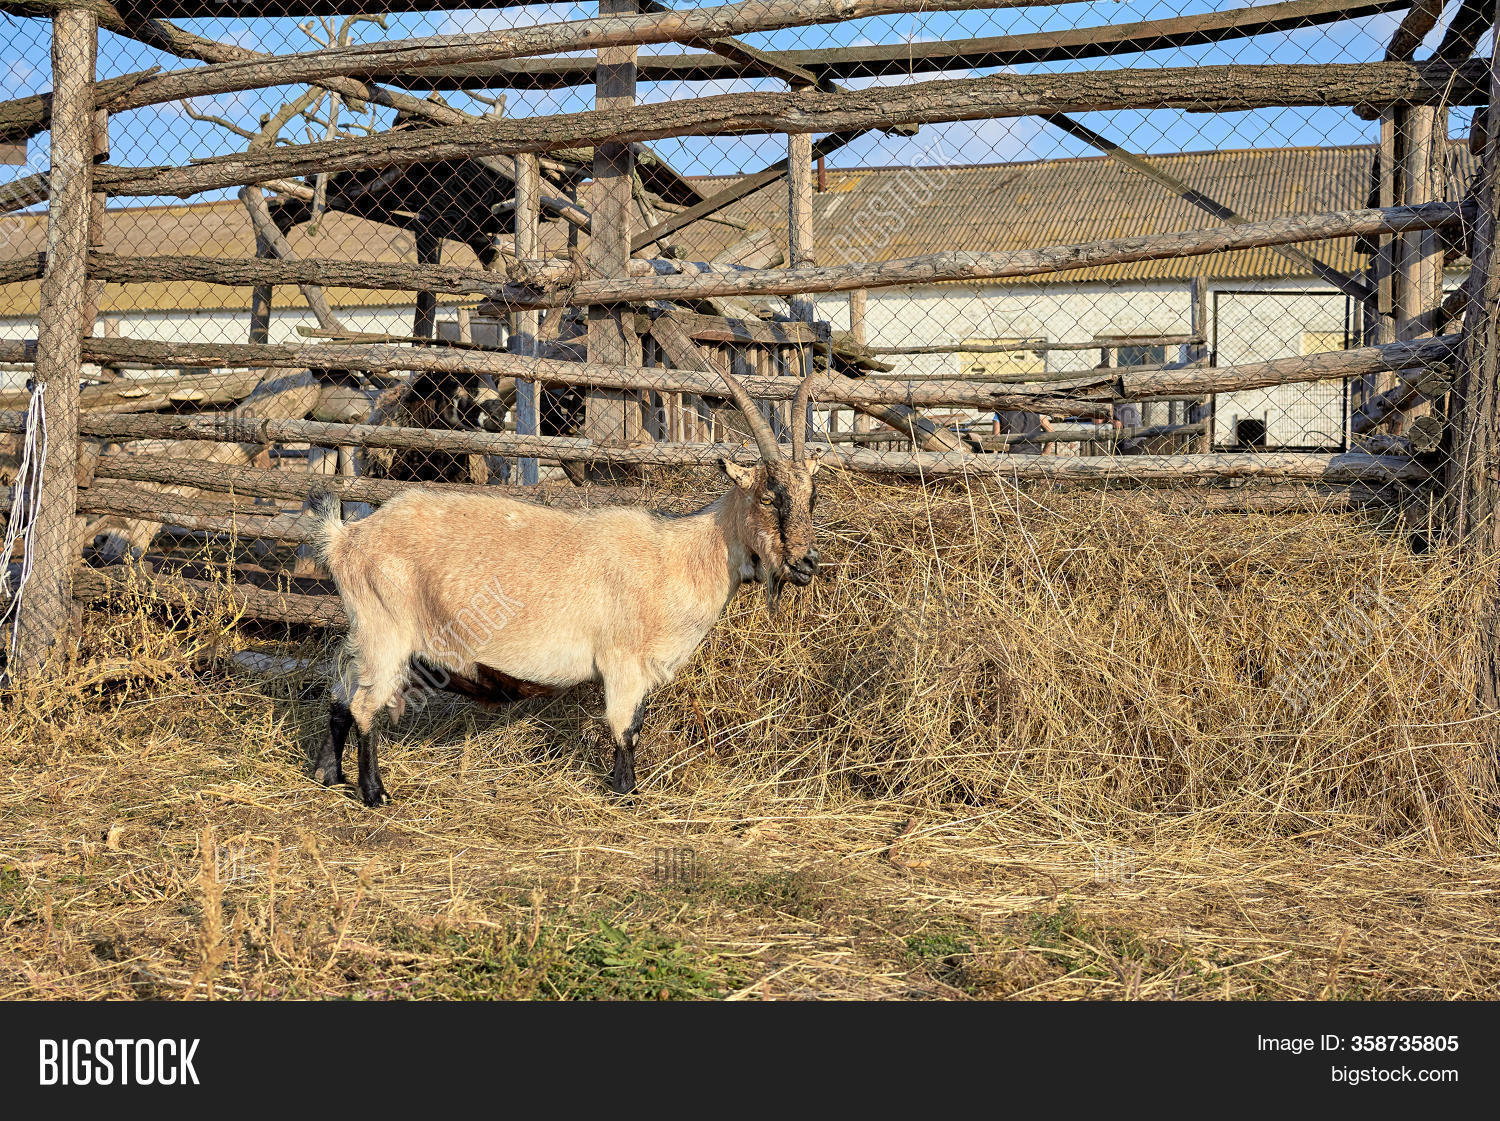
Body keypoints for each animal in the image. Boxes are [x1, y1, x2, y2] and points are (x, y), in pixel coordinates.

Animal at [307, 361, 823, 805]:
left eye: (811, 497)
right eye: (768, 497)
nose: (806, 563)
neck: (678, 556)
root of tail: (346, 539)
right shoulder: (622, 660)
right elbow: (625, 729)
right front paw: (626, 794)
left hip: (365, 632)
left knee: (340, 694)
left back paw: (328, 775)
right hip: (386, 632)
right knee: (364, 705)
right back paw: (374, 793)